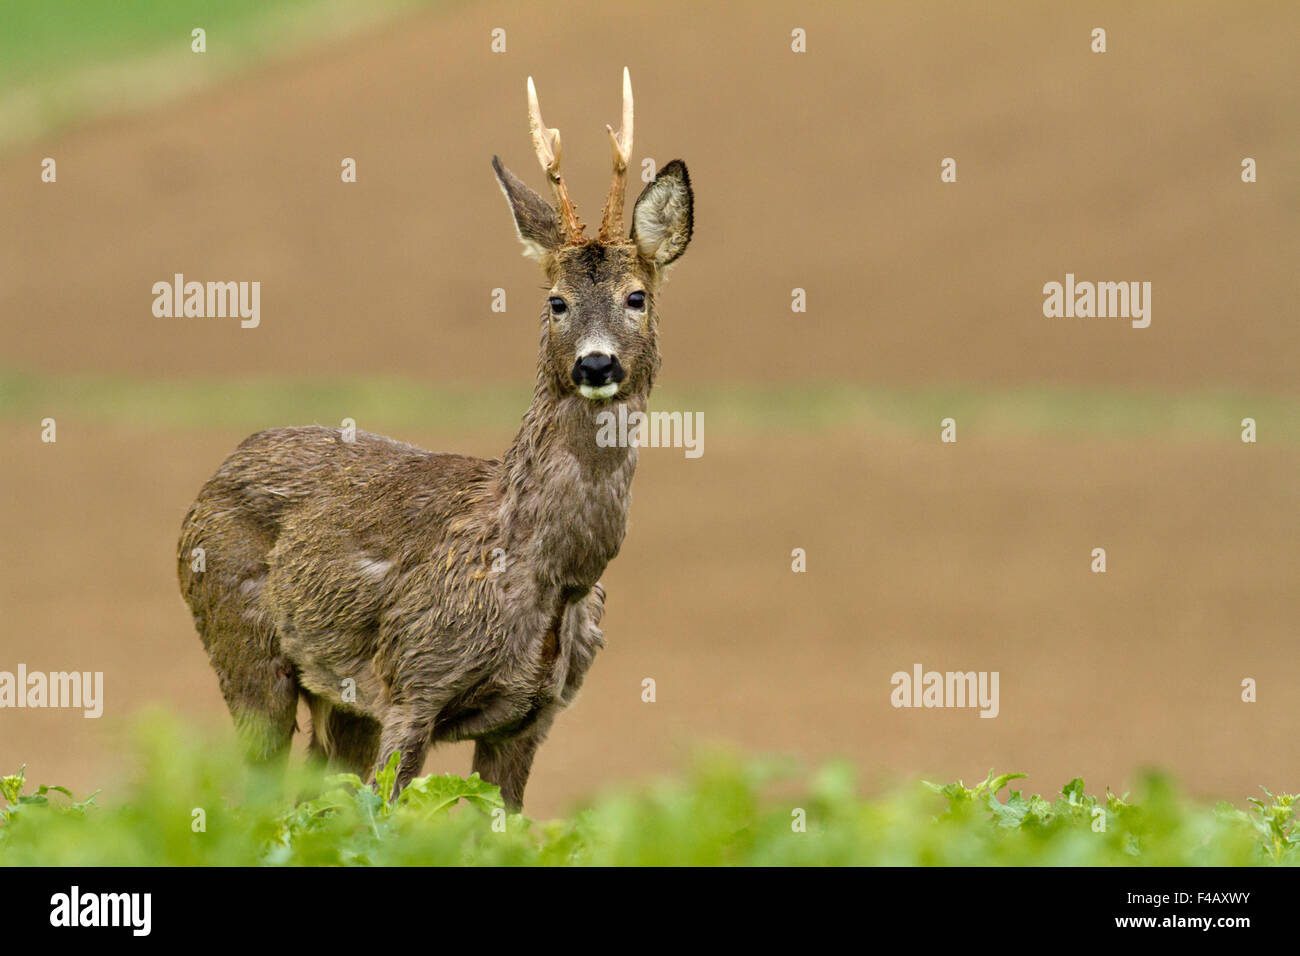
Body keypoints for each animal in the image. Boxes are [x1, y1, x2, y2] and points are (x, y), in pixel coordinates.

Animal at [176, 68, 693, 811]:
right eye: (556, 301)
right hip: (242, 644)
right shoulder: (414, 680)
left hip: (339, 703)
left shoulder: (533, 717)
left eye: (636, 297)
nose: (596, 365)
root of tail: (219, 469)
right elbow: (383, 815)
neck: (546, 573)